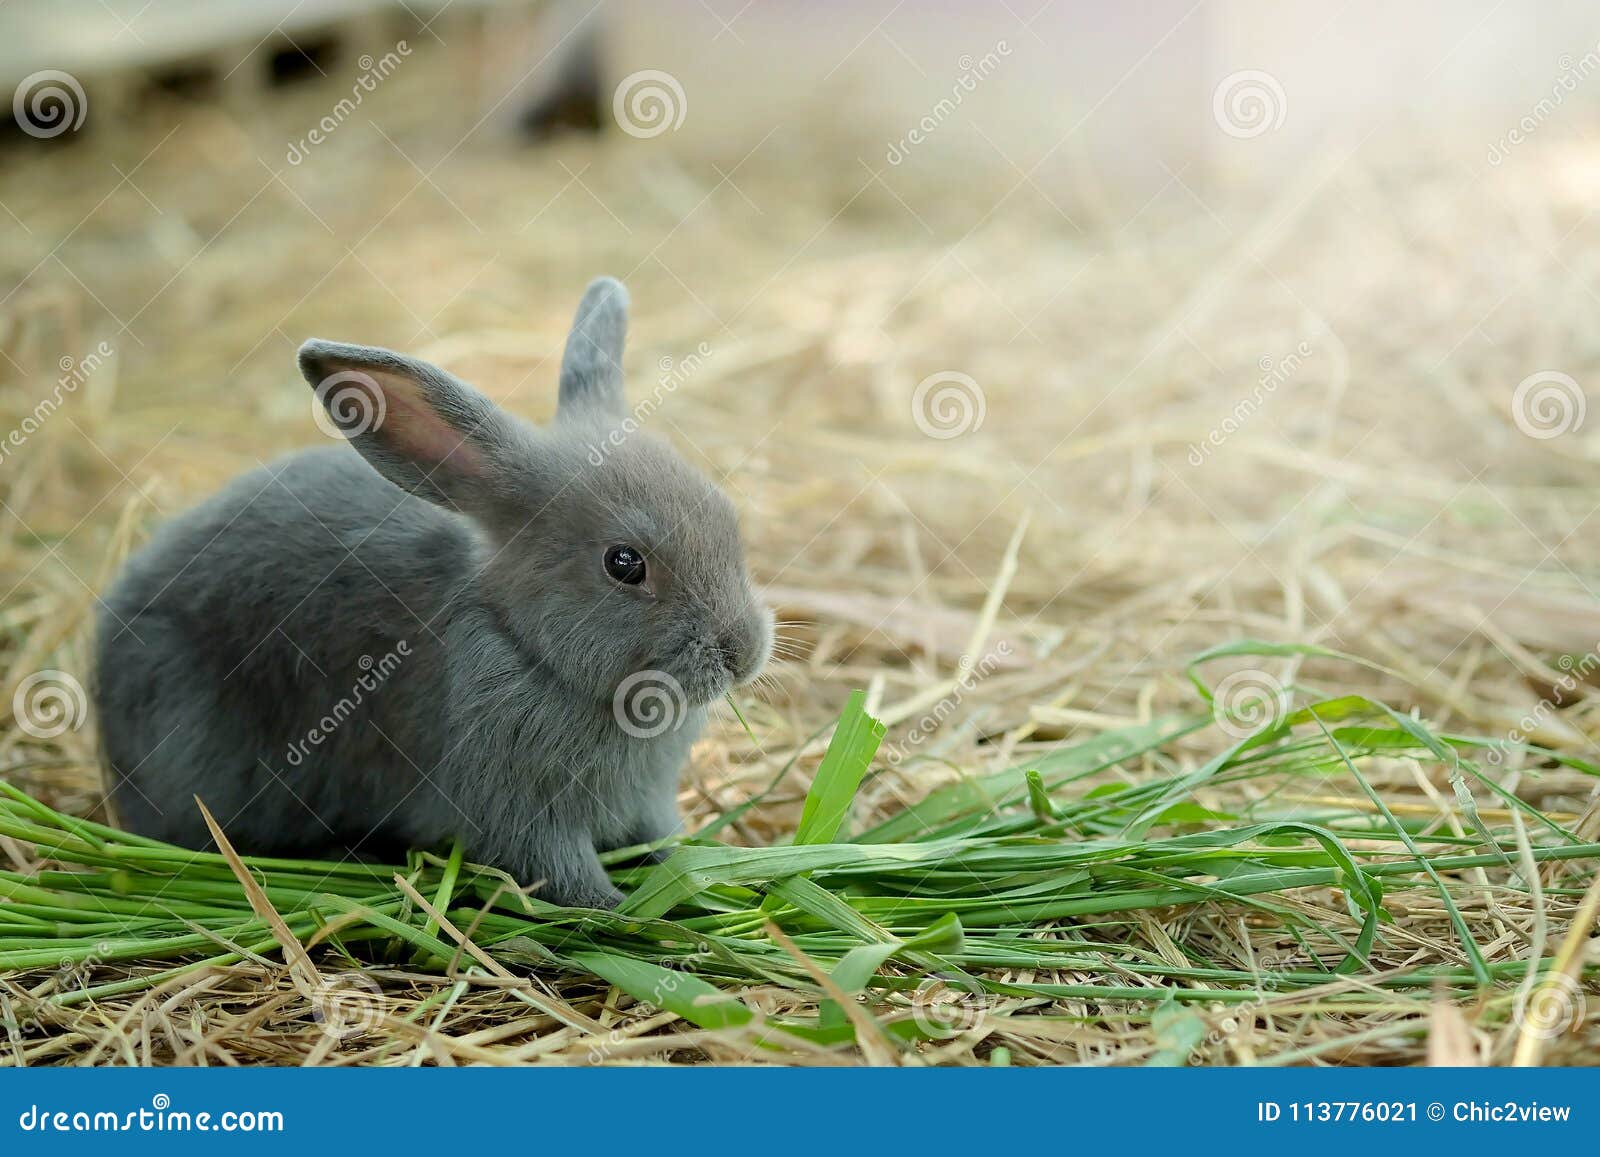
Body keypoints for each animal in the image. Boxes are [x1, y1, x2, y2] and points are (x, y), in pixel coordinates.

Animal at [94, 277, 771, 909]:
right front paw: (621, 909)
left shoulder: (646, 805)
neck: (524, 645)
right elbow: (559, 871)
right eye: (624, 564)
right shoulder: (520, 815)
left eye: (724, 514)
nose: (741, 653)